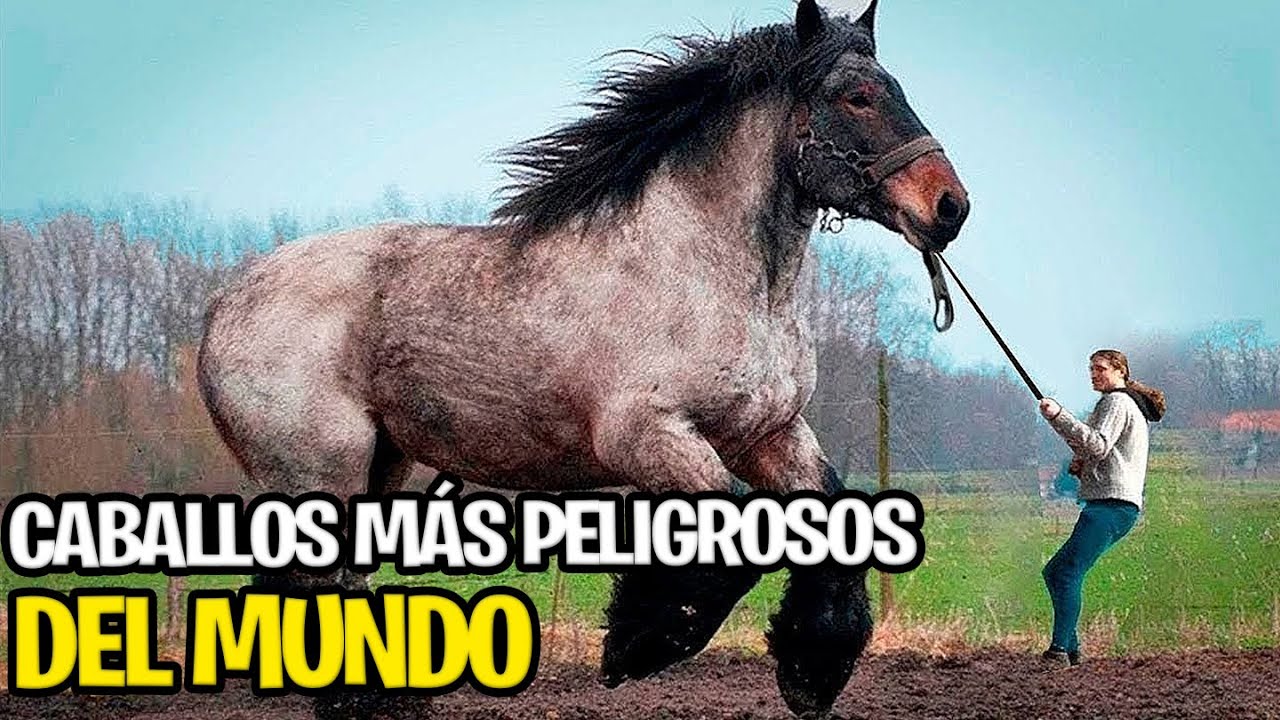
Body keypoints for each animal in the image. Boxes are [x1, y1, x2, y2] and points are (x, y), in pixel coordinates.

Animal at [197, 0, 969, 716]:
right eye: (856, 96)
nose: (950, 207)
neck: (704, 272)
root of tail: (225, 306)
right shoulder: (646, 437)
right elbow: (725, 530)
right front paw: (636, 644)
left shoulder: (768, 433)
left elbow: (834, 514)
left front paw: (811, 672)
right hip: (318, 471)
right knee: (319, 588)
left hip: (380, 467)